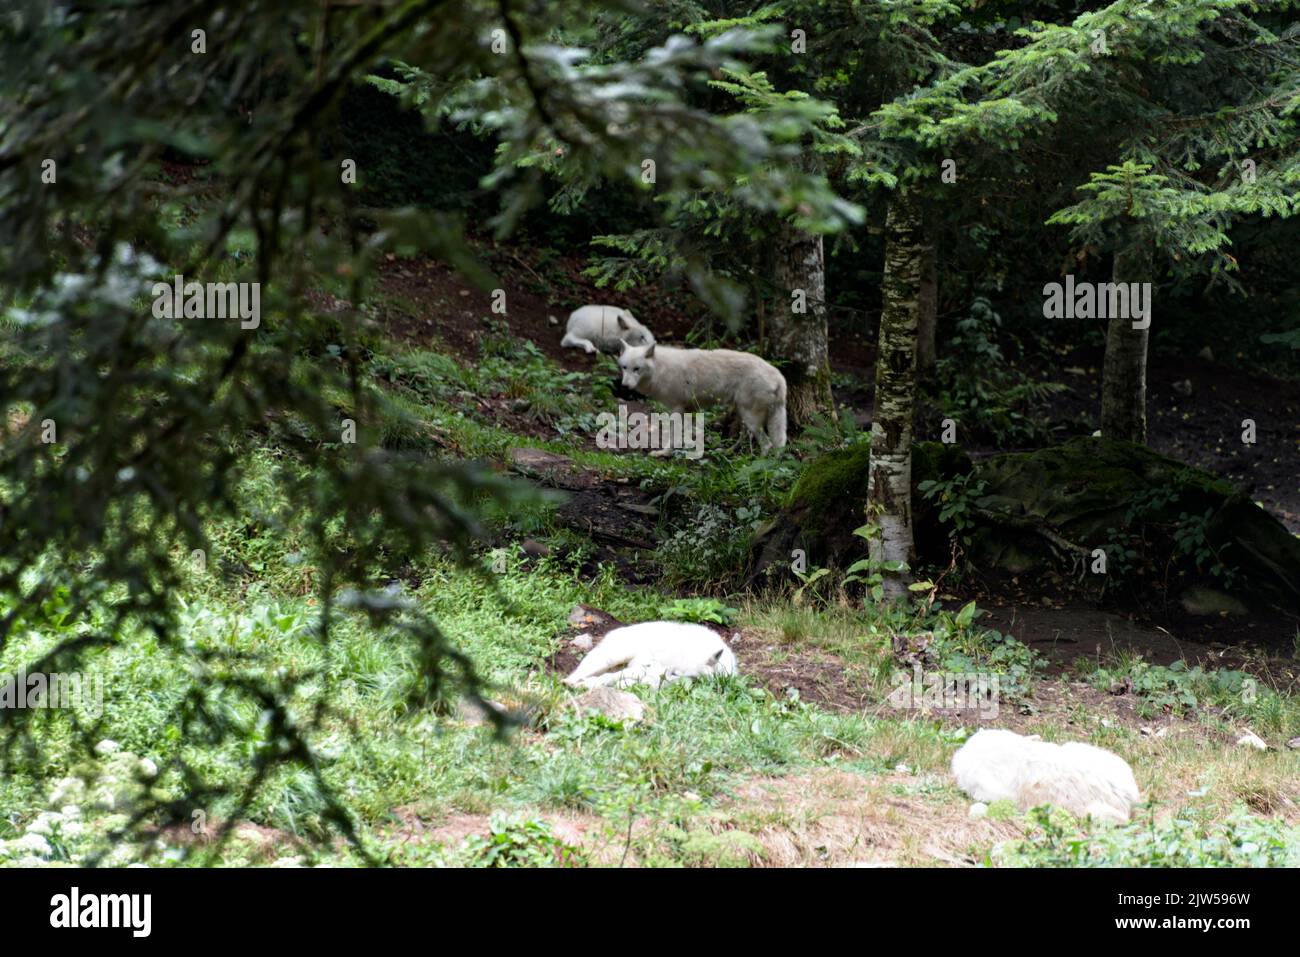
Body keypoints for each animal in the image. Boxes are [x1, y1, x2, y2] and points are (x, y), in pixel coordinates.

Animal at [564, 621, 739, 690]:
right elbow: (610, 678)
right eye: (675, 673)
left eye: (693, 679)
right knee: (581, 673)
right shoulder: (650, 669)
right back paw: (570, 682)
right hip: (612, 658)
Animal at [617, 342, 787, 452]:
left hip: (750, 417)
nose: (624, 386)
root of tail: (779, 377)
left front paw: (664, 453)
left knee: (767, 445)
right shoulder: (689, 409)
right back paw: (730, 453)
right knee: (750, 437)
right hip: (744, 413)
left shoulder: (677, 407)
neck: (660, 369)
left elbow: (674, 434)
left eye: (637, 369)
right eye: (624, 367)